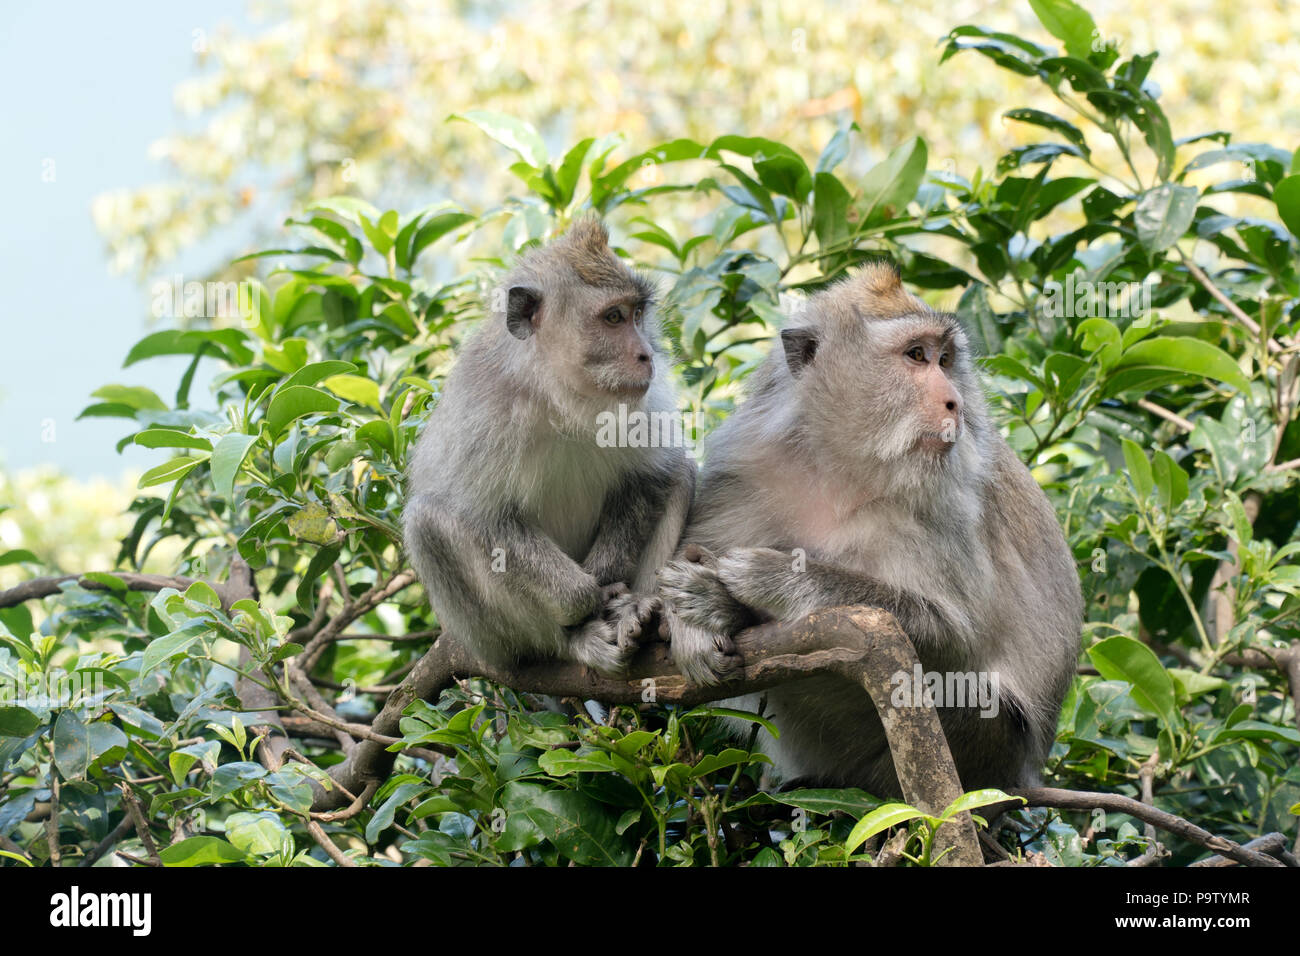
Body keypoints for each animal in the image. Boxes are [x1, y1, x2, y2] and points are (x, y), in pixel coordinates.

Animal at [403, 220, 694, 678]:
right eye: (613, 317)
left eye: (637, 314)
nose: (647, 355)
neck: (558, 397)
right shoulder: (484, 413)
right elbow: (483, 517)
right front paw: (586, 597)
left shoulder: (646, 401)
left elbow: (650, 475)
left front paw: (607, 579)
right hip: (491, 645)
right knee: (426, 521)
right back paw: (574, 640)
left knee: (682, 471)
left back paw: (639, 611)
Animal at [658, 262, 1082, 797]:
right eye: (916, 355)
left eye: (946, 360)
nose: (954, 402)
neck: (845, 470)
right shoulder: (741, 470)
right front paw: (692, 618)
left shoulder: (945, 507)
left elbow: (953, 641)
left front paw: (758, 586)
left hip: (992, 754)